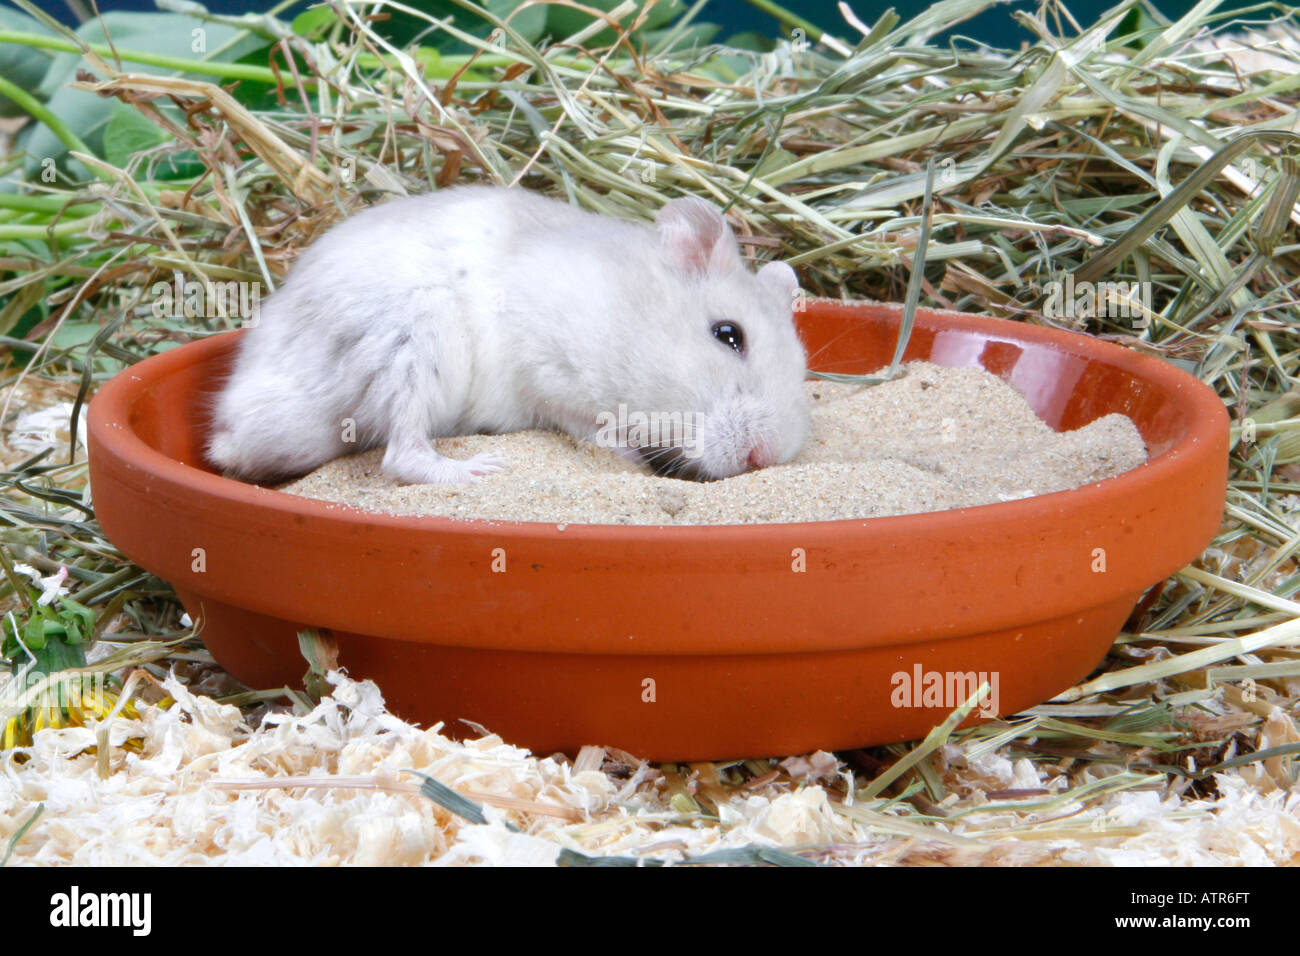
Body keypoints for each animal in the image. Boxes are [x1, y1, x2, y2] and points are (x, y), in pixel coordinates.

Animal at [206, 185, 810, 485]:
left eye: (803, 372)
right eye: (728, 334)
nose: (763, 458)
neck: (626, 312)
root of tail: (234, 425)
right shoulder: (548, 369)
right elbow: (588, 425)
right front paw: (632, 458)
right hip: (415, 339)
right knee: (401, 454)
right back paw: (479, 470)